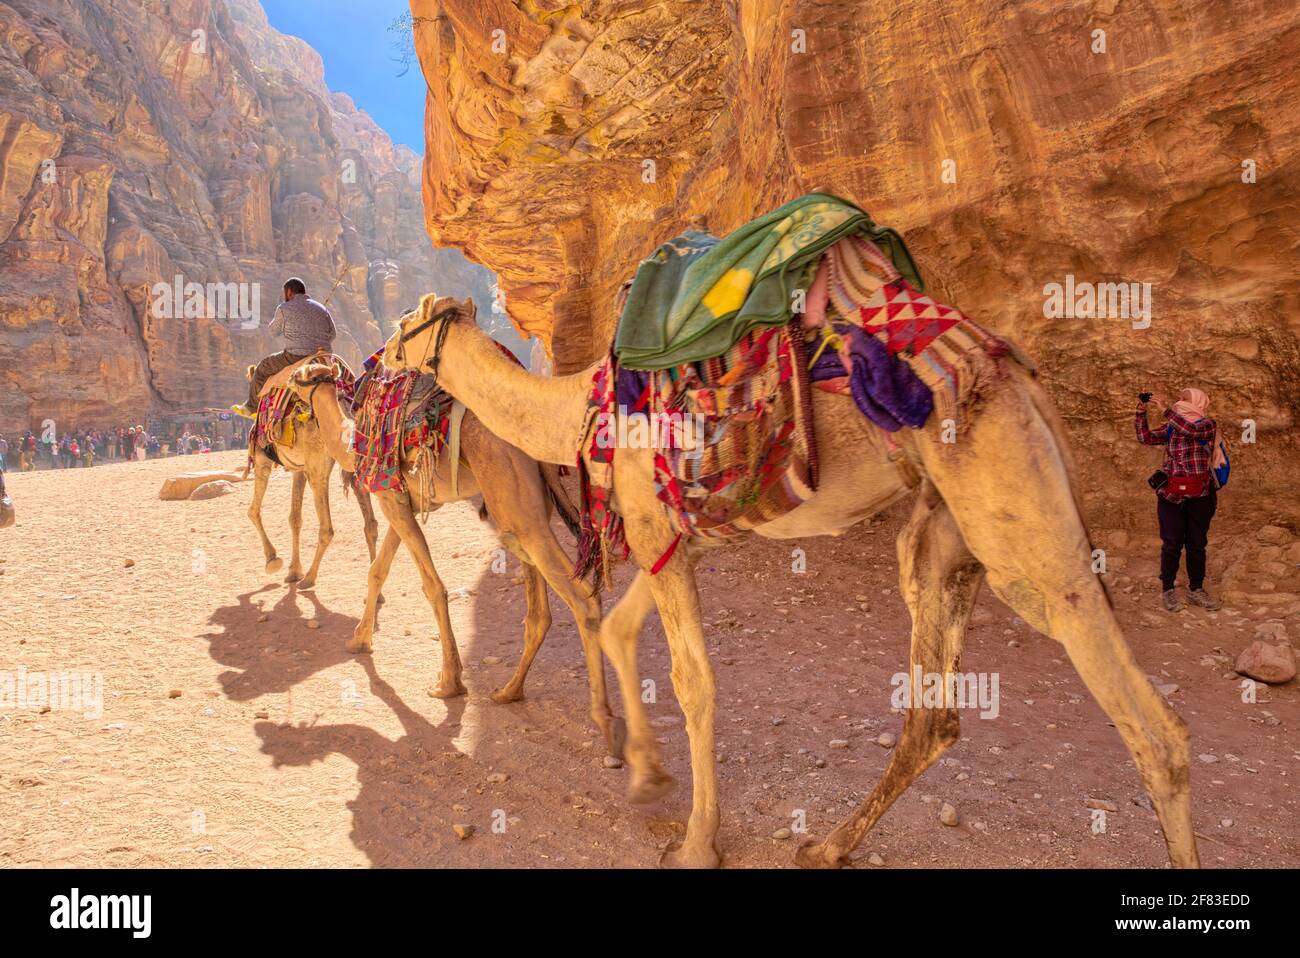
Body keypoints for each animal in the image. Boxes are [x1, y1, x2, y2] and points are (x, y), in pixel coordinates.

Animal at [281, 362, 625, 758]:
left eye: (299, 375)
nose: (283, 386)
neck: (355, 442)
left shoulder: (391, 499)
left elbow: (432, 586)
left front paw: (448, 683)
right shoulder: (399, 501)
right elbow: (377, 571)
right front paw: (359, 641)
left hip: (519, 509)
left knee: (583, 599)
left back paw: (606, 725)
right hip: (525, 511)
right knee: (539, 610)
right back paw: (509, 691)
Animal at [380, 292, 1200, 871]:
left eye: (405, 324)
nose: (379, 356)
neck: (584, 406)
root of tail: (1027, 382)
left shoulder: (654, 528)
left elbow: (693, 681)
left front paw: (696, 841)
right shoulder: (673, 537)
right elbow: (617, 626)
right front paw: (643, 771)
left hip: (1022, 530)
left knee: (1154, 729)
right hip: (944, 536)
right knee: (933, 714)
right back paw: (828, 845)